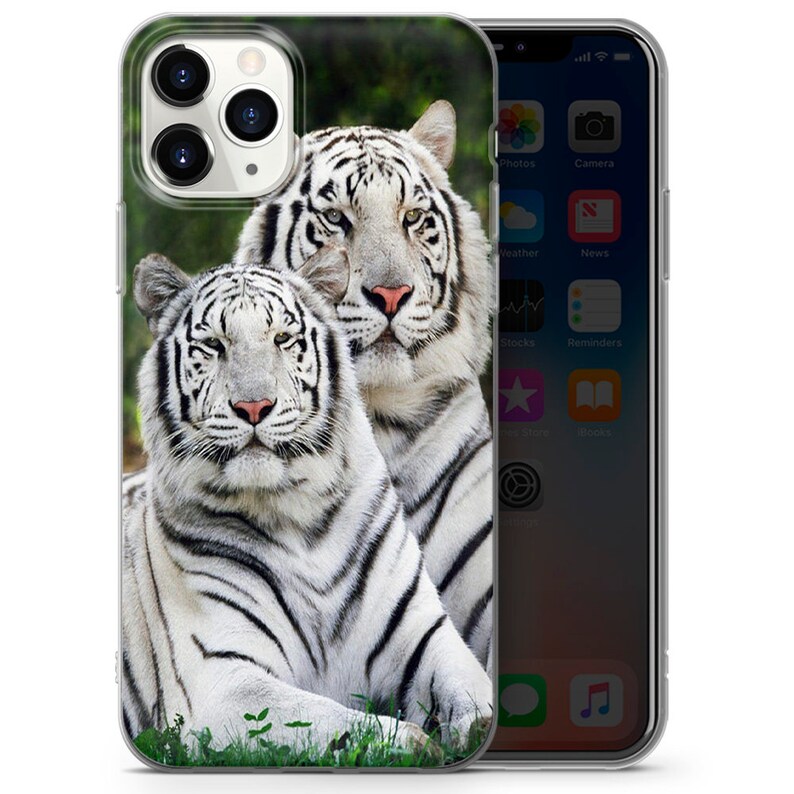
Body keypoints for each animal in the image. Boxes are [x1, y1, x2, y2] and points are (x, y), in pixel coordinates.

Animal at [121, 250, 493, 756]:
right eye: (214, 345)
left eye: (282, 339)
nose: (254, 407)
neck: (297, 516)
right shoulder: (219, 681)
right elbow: (329, 721)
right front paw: (416, 743)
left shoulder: (424, 635)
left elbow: (474, 687)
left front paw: (479, 728)